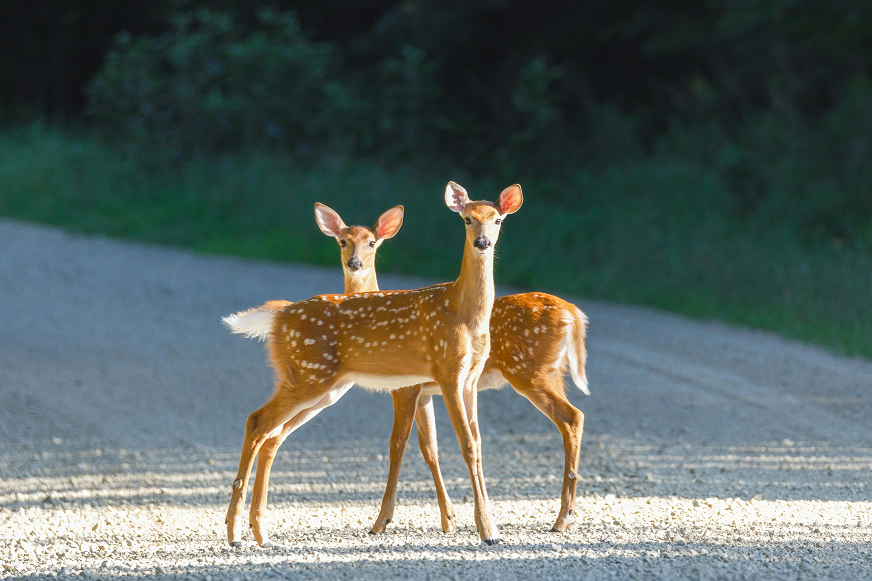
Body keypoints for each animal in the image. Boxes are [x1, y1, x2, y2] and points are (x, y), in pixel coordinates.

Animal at [222, 182, 522, 547]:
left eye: (498, 220)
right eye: (467, 219)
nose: (483, 243)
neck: (463, 312)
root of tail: (279, 316)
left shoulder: (469, 380)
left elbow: (475, 444)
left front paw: (483, 526)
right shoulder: (447, 372)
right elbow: (462, 445)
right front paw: (487, 532)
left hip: (324, 387)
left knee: (271, 436)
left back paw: (259, 531)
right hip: (310, 374)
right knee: (256, 421)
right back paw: (235, 533)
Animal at [314, 200, 589, 536]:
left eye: (372, 243)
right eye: (343, 241)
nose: (354, 262)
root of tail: (573, 313)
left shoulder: (406, 388)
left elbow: (398, 444)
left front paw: (383, 521)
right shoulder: (425, 391)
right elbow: (429, 447)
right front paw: (449, 519)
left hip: (530, 371)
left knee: (572, 417)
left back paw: (561, 518)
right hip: (552, 372)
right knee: (573, 417)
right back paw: (563, 514)